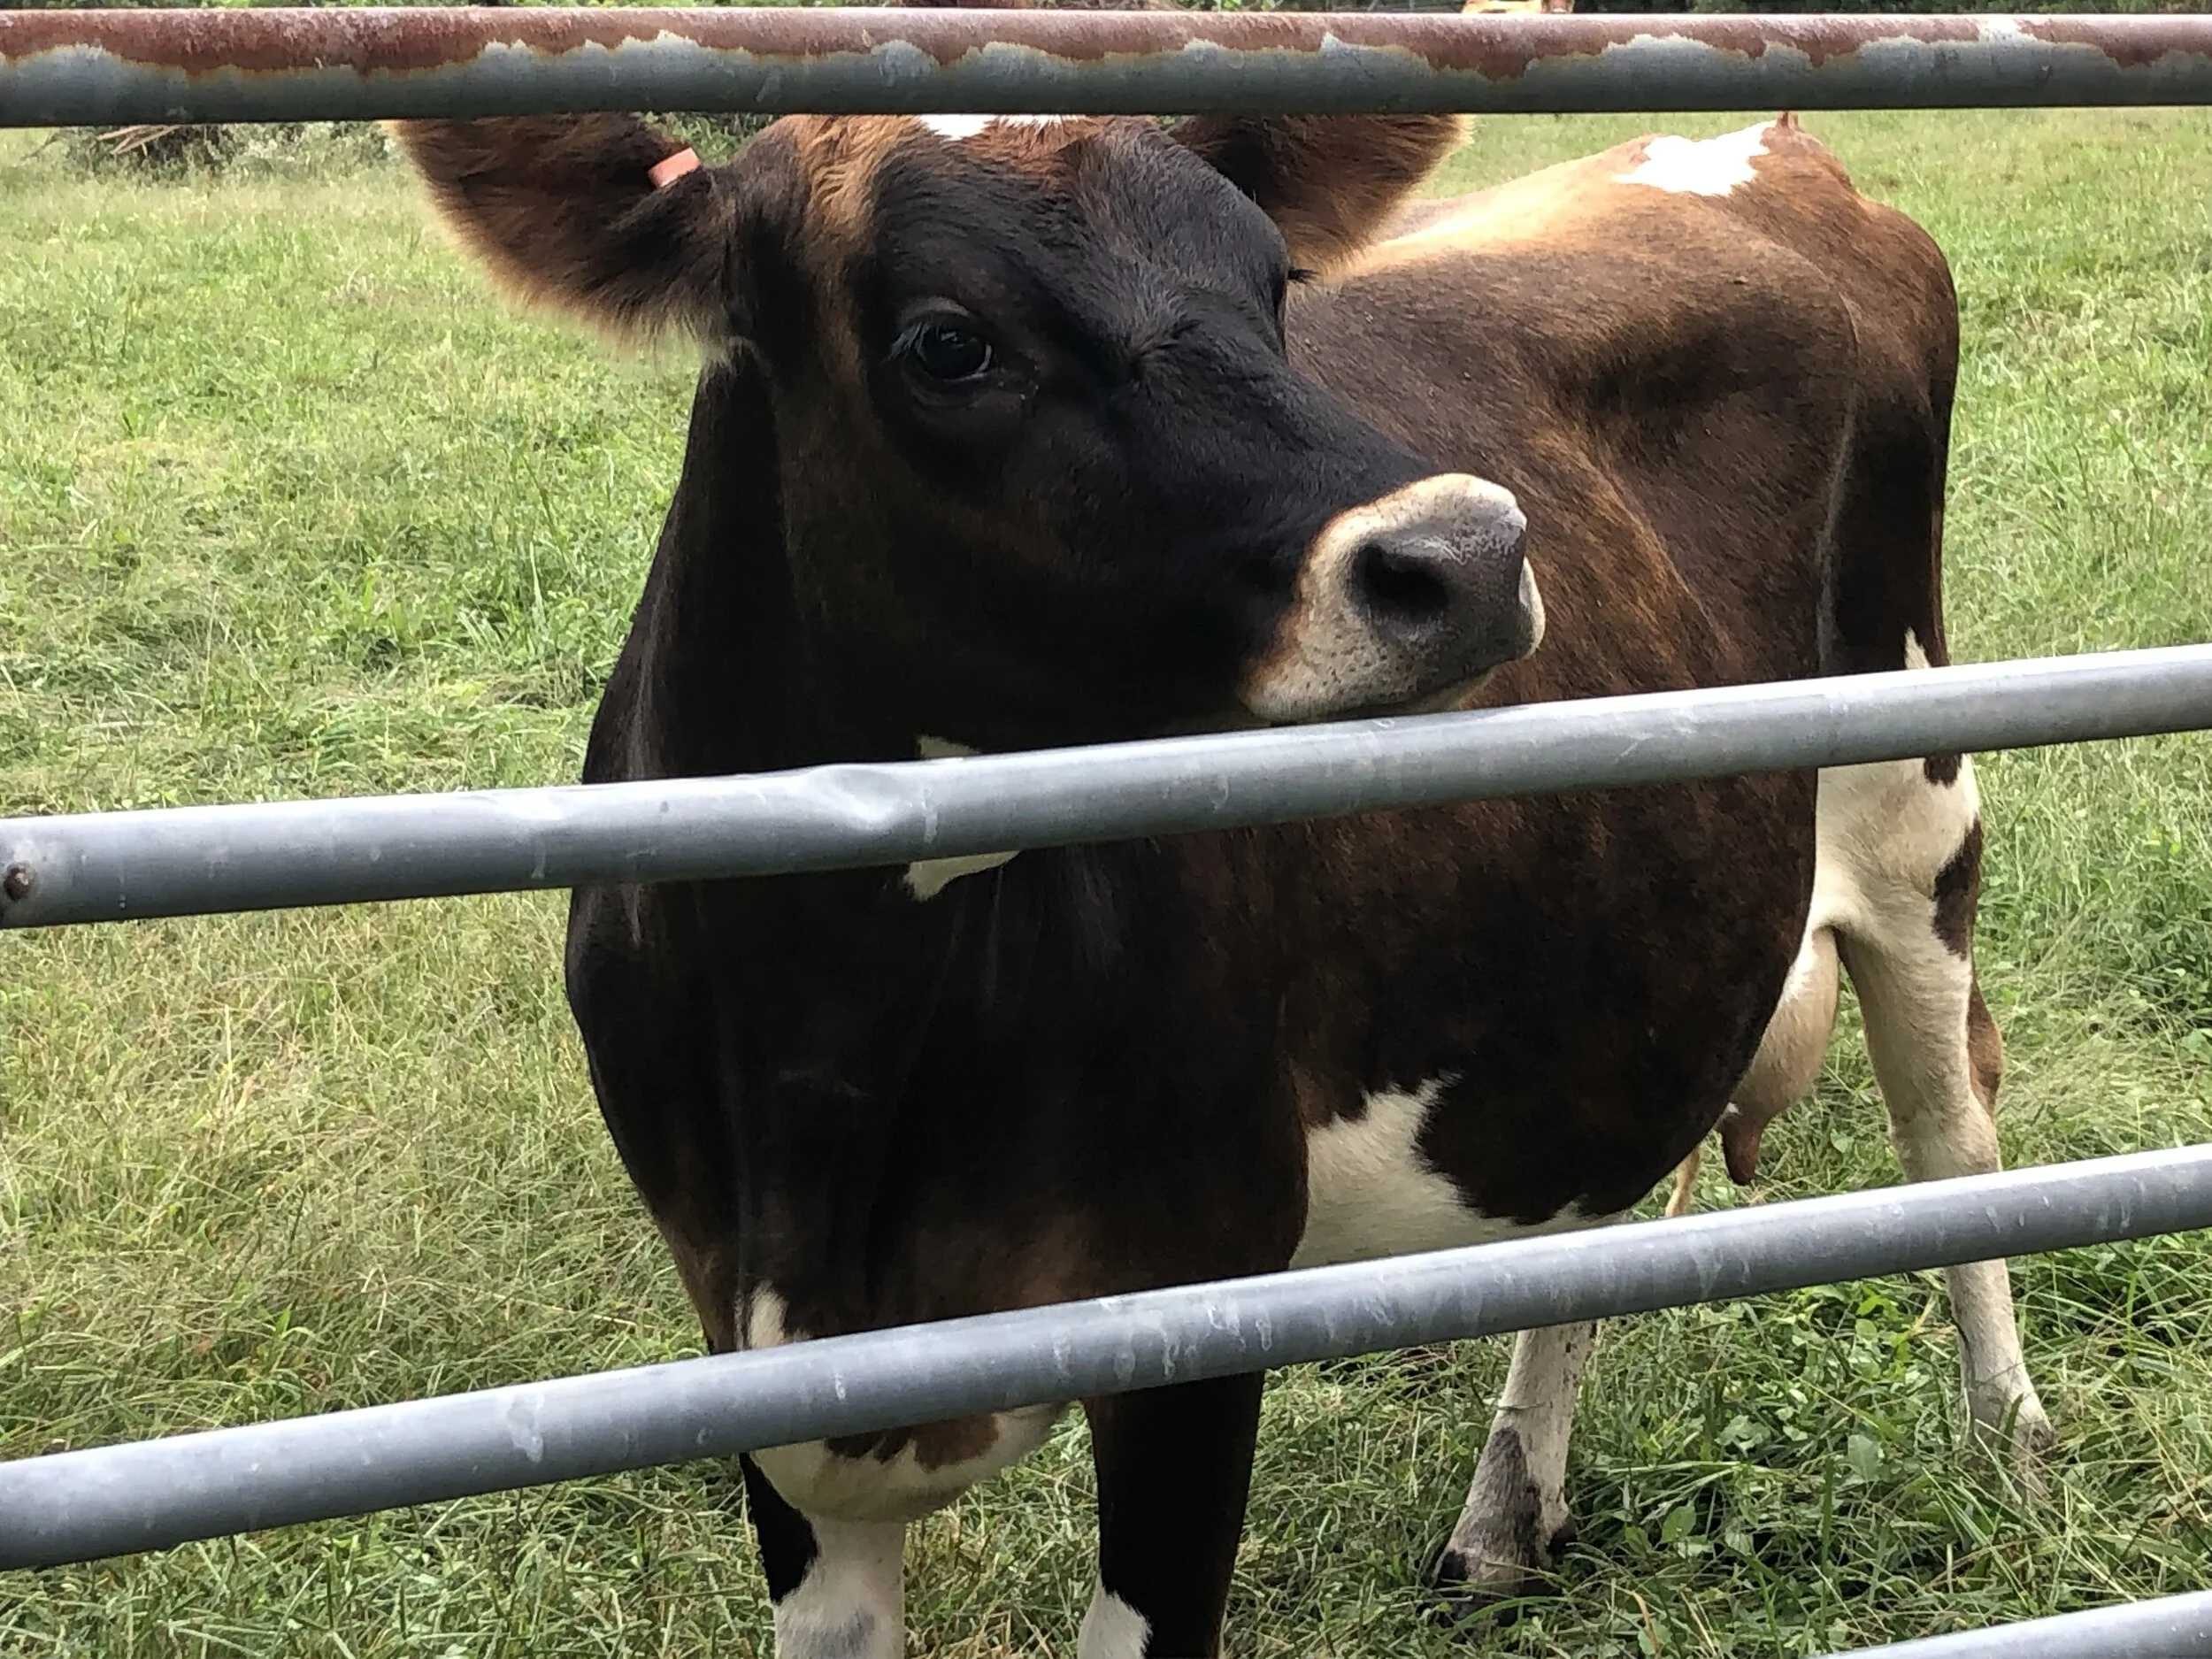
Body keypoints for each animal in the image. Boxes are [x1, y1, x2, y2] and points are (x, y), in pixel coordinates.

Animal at [394, 101, 2049, 1658]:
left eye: (1271, 283)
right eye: (949, 342)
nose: (1468, 549)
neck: (836, 1069)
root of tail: (1771, 149)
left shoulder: (1193, 1308)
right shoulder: (762, 1360)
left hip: (1916, 808)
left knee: (1950, 1123)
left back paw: (2010, 1442)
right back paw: (1509, 1509)